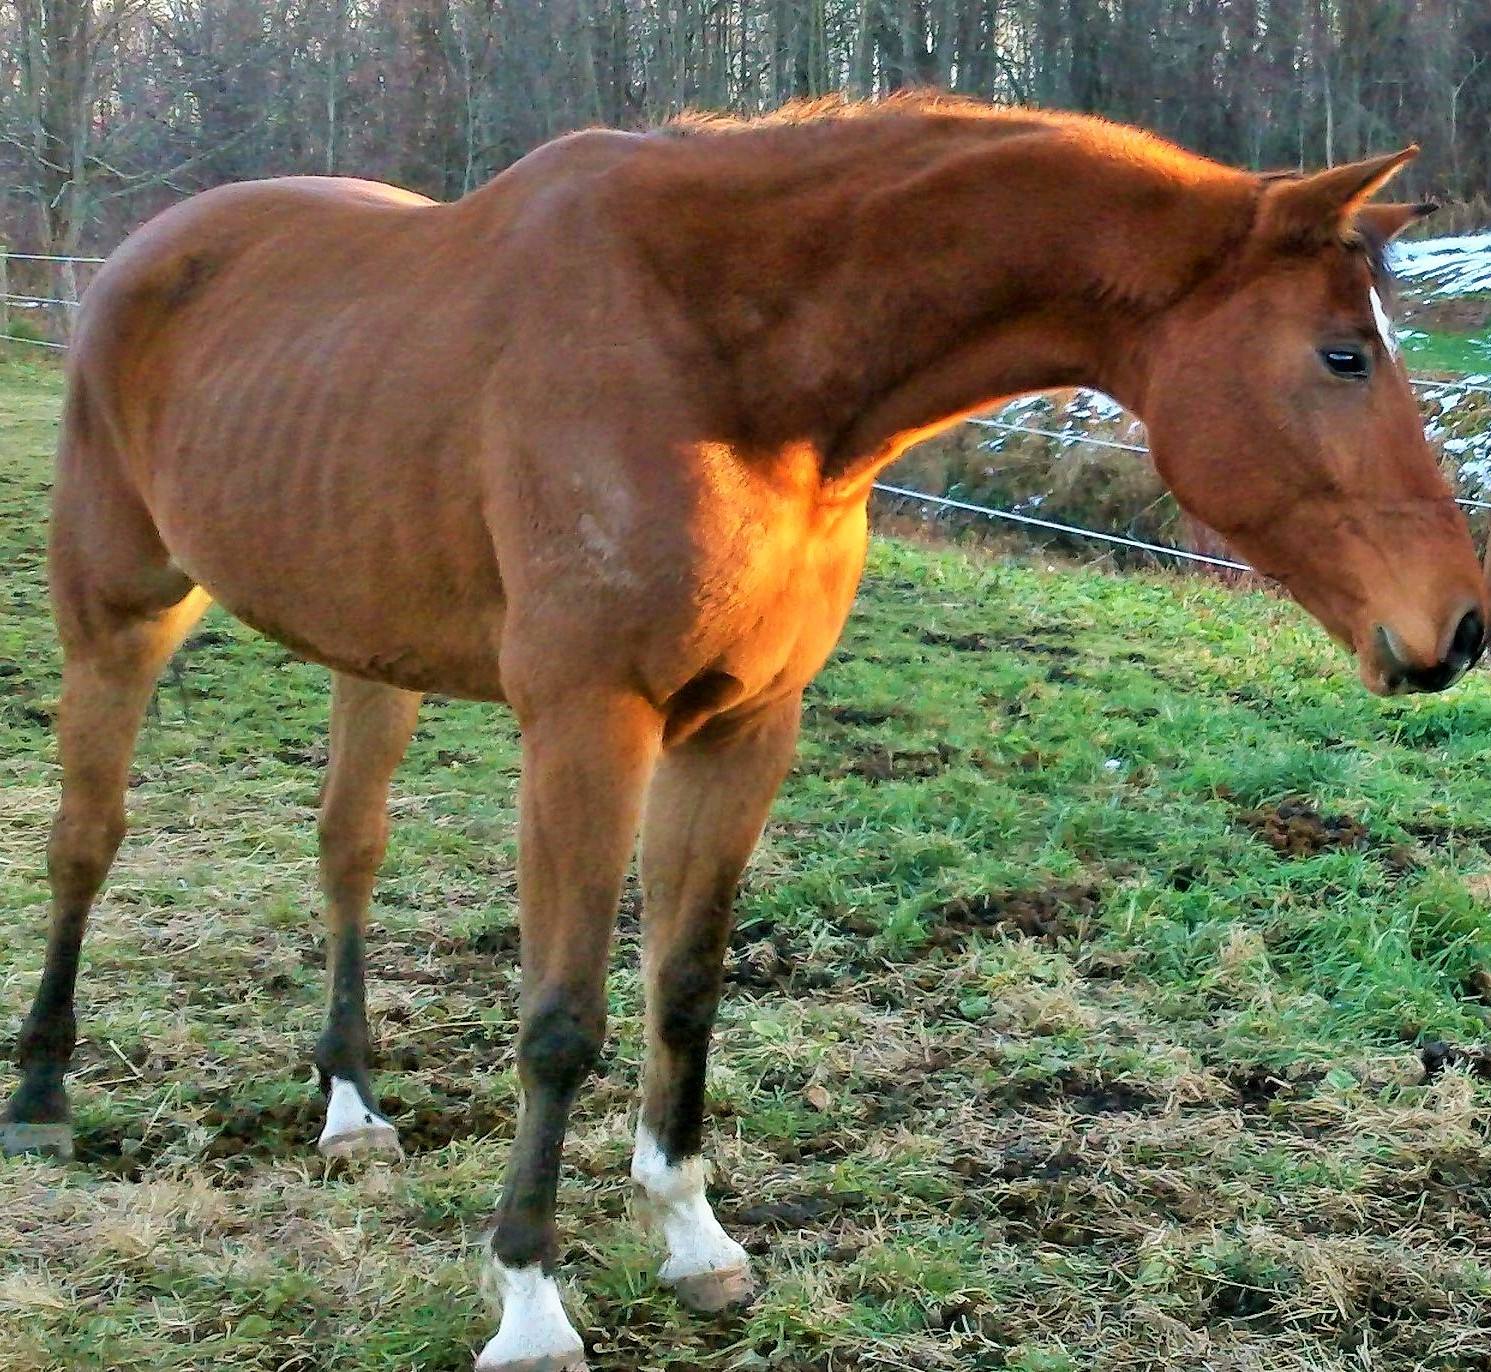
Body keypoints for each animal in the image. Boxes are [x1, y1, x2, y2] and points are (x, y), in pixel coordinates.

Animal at [4, 96, 1485, 1372]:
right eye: (1341, 355)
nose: (1458, 627)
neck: (722, 355)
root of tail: (147, 250)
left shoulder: (742, 728)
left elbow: (687, 983)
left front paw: (690, 1235)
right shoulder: (586, 723)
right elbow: (561, 1017)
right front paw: (530, 1305)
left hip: (370, 646)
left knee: (345, 849)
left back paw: (352, 1106)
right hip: (117, 608)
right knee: (87, 839)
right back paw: (42, 1096)